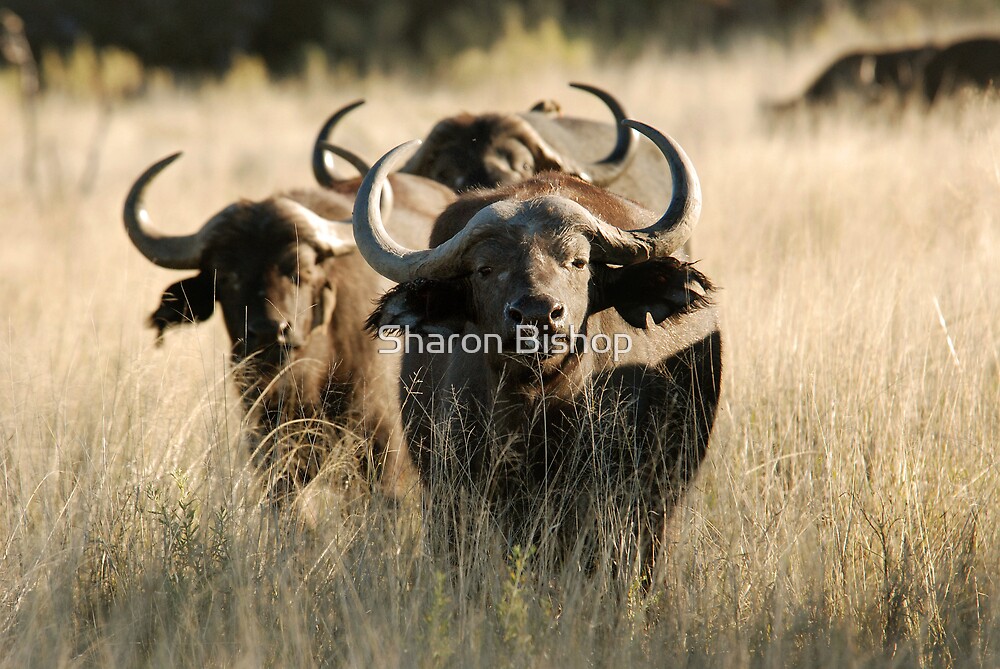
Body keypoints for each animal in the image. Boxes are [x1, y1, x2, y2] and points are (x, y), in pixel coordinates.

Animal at [124, 153, 455, 503]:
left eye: (301, 270)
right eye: (225, 278)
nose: (269, 331)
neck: (312, 373)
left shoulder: (388, 465)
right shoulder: (271, 458)